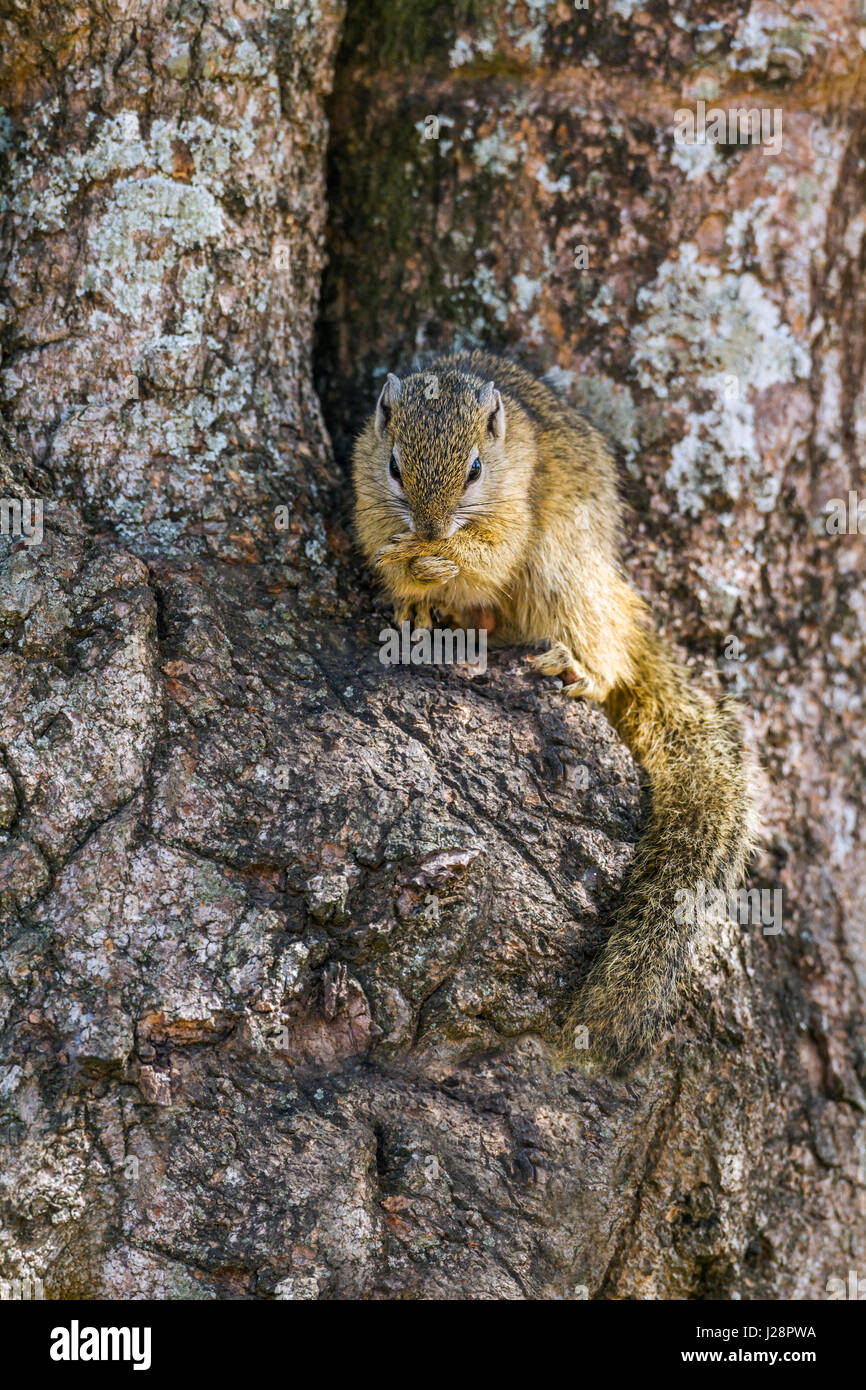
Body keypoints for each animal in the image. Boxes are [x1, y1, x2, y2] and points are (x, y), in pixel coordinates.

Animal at [352, 350, 758, 1071]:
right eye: (394, 465)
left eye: (476, 470)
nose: (429, 530)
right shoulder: (366, 490)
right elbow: (383, 547)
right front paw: (412, 578)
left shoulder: (515, 506)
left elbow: (490, 555)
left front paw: (446, 560)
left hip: (565, 568)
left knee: (602, 645)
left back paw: (580, 666)